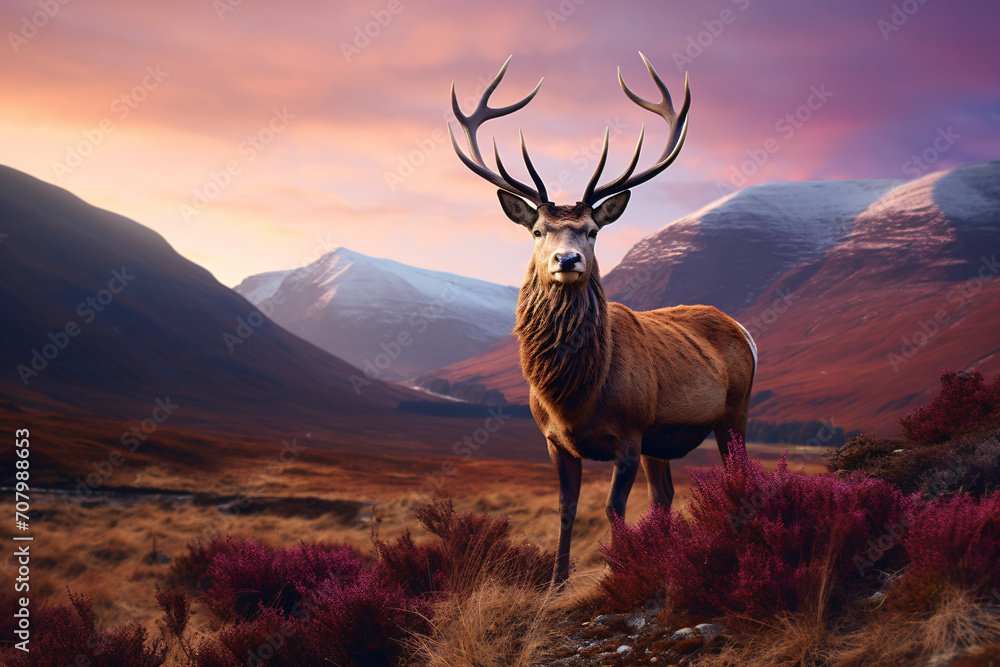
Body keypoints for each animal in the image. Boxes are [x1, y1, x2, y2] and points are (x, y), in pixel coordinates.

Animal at [449, 54, 757, 585]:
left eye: (592, 230)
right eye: (537, 230)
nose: (567, 259)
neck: (573, 398)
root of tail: (743, 330)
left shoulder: (630, 432)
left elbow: (614, 509)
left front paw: (622, 573)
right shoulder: (555, 442)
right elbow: (566, 509)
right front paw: (556, 582)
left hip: (734, 410)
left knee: (736, 475)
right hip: (663, 438)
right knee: (663, 497)